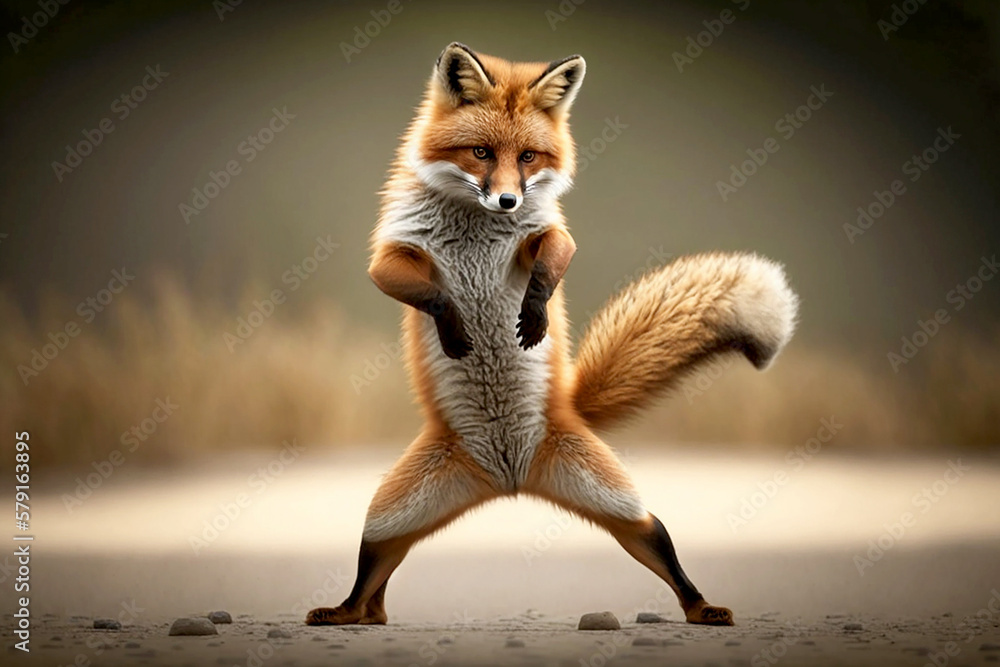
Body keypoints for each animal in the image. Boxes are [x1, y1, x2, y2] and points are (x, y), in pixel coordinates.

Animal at [305, 43, 798, 628]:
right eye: (480, 152)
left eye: (528, 158)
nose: (507, 203)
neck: (475, 227)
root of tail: (509, 480)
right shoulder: (394, 252)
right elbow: (429, 293)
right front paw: (456, 327)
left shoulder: (545, 232)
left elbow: (551, 262)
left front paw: (534, 314)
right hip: (391, 517)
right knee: (373, 572)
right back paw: (350, 613)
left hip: (615, 504)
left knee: (656, 536)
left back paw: (701, 608)